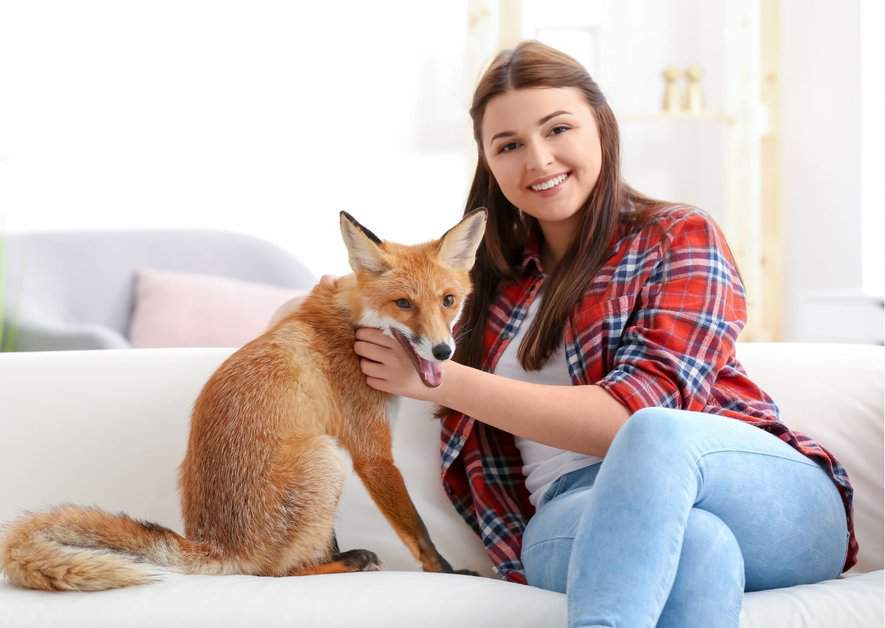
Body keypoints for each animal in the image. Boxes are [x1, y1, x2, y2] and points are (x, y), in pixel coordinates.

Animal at [0, 209, 487, 591]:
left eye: (448, 301)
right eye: (404, 303)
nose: (443, 351)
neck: (351, 323)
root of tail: (216, 546)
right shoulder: (372, 455)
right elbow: (420, 533)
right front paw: (450, 574)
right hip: (326, 458)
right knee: (275, 573)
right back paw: (349, 562)